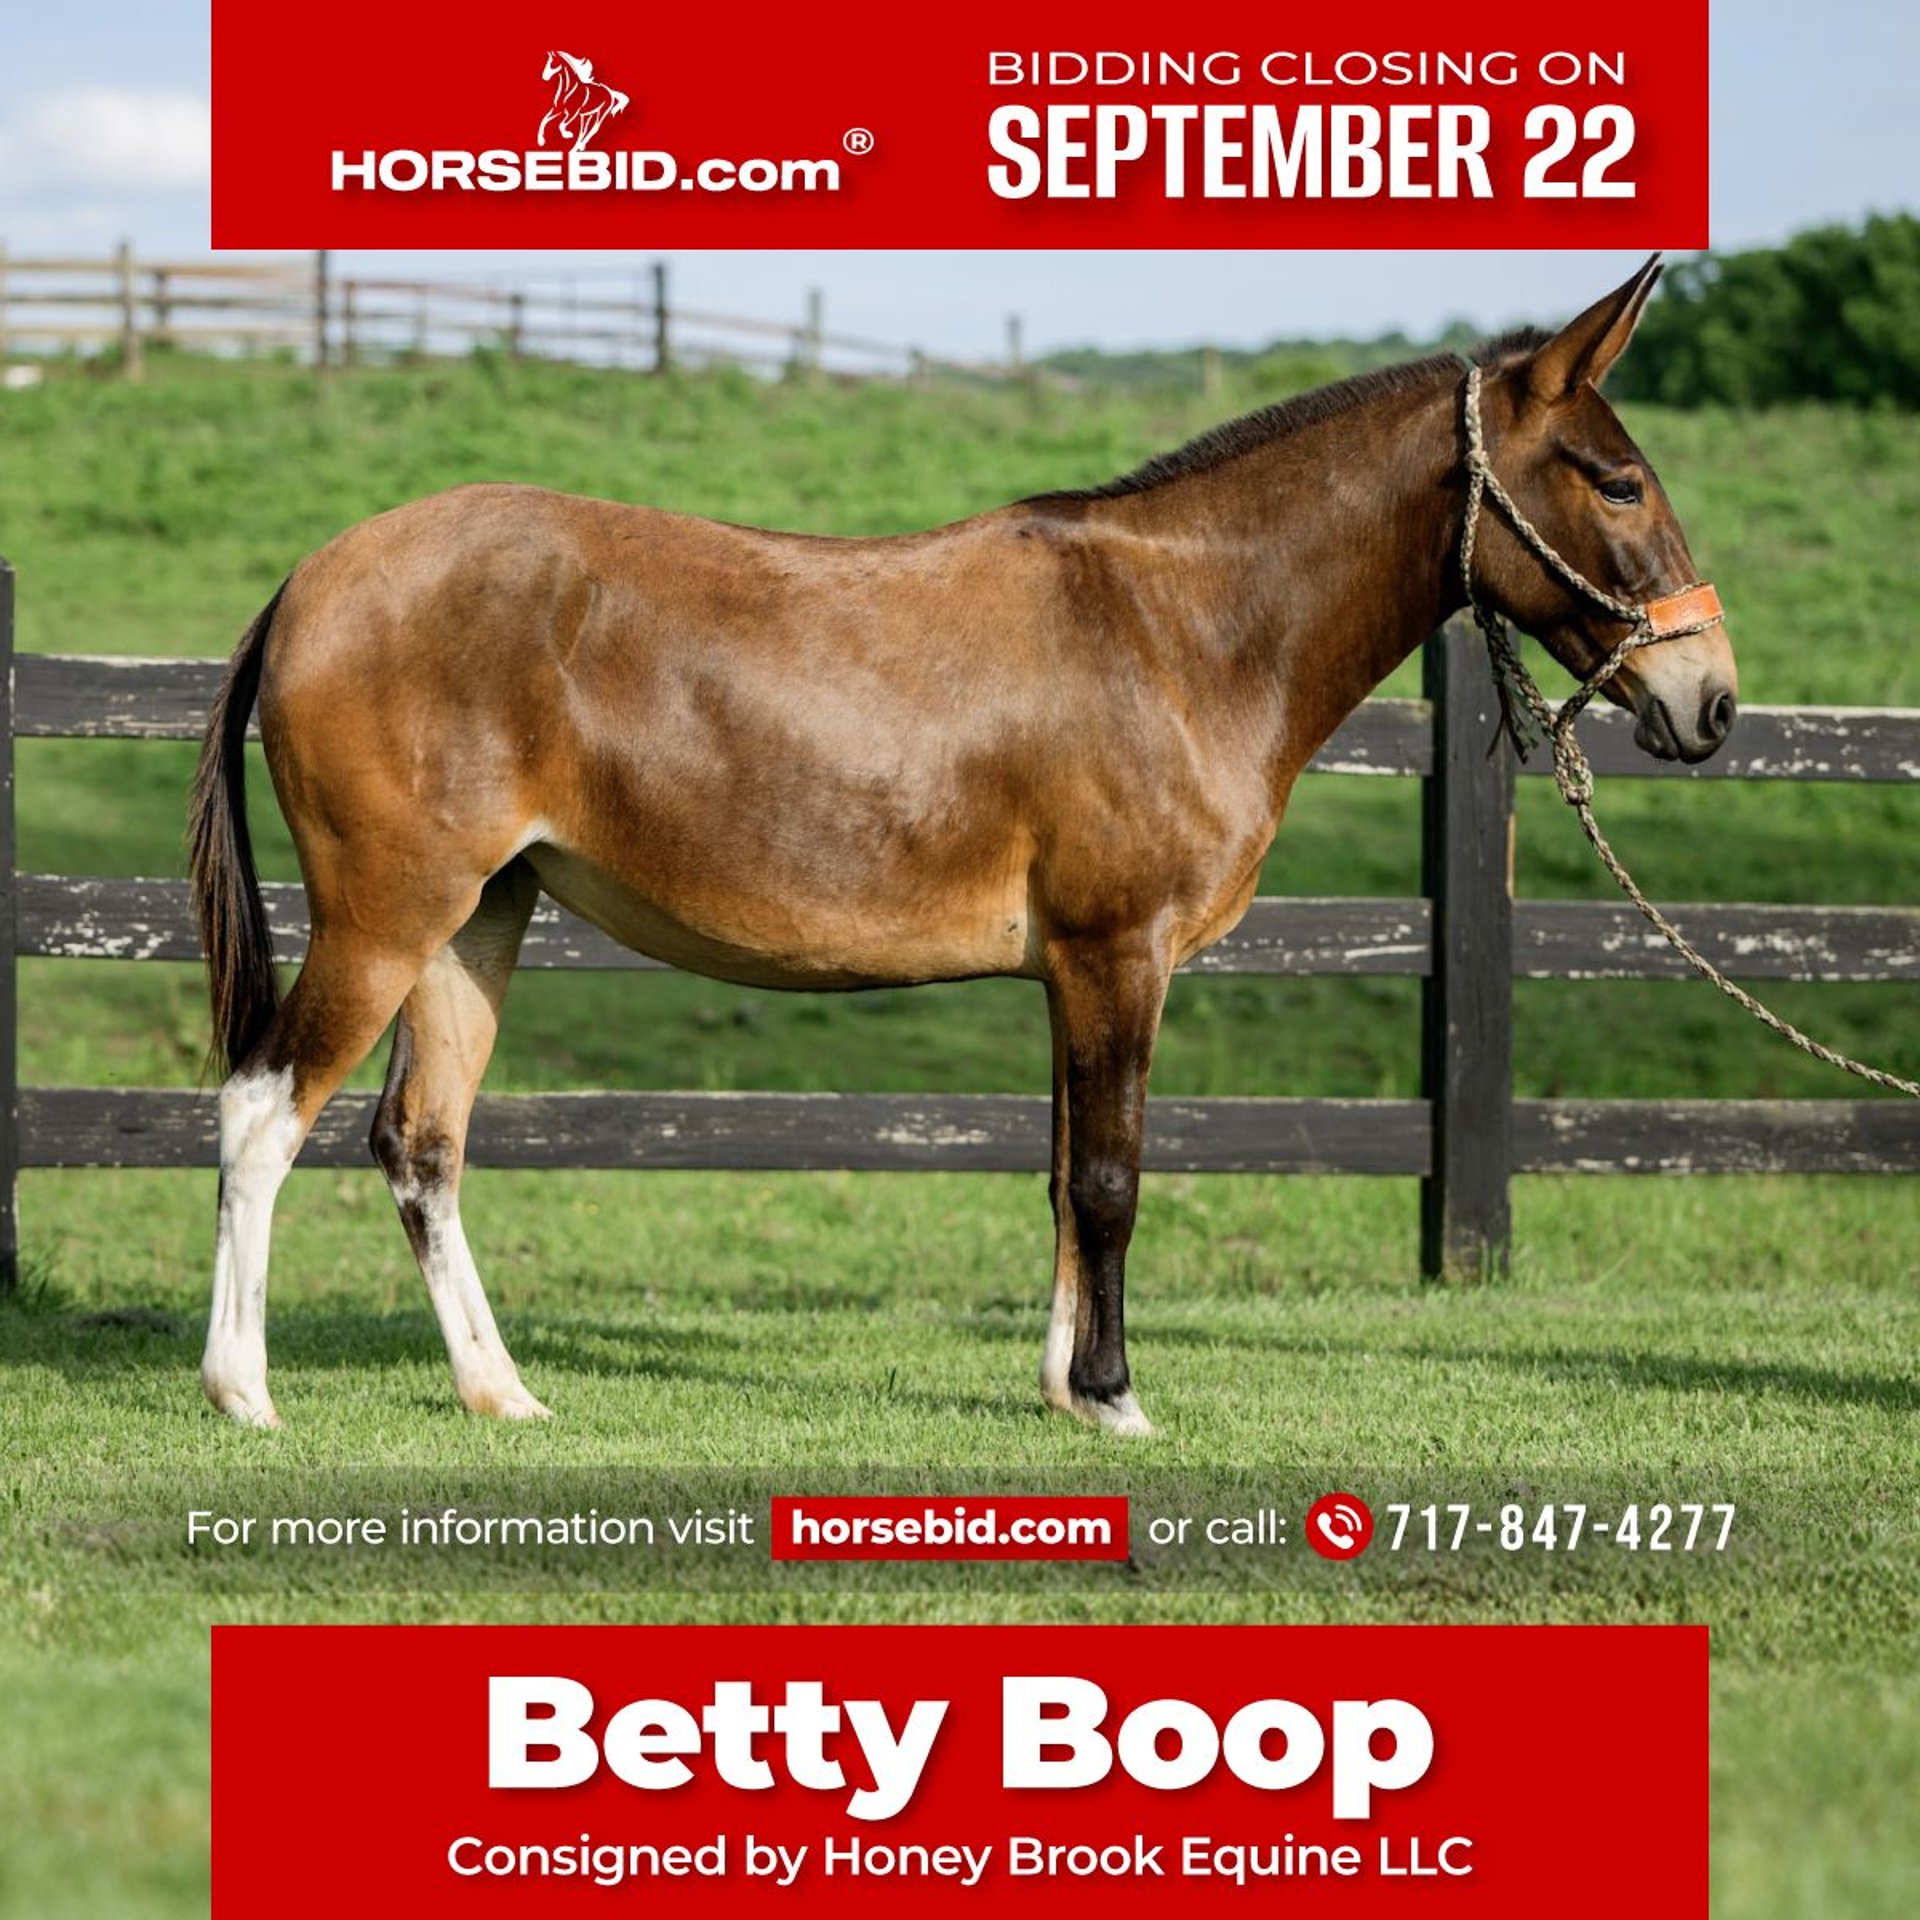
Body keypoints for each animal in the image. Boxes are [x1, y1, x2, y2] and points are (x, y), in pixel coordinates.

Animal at [189, 258, 1737, 1433]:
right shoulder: (1120, 957)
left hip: (480, 917)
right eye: (1614, 481)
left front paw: (1062, 1391)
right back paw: (242, 1390)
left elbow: (1062, 1173)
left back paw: (499, 1392)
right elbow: (1111, 1178)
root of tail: (313, 576)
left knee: (421, 1143)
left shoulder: (1073, 972)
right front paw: (1115, 1396)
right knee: (263, 1110)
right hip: (388, 914)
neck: (1177, 629)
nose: (1709, 700)